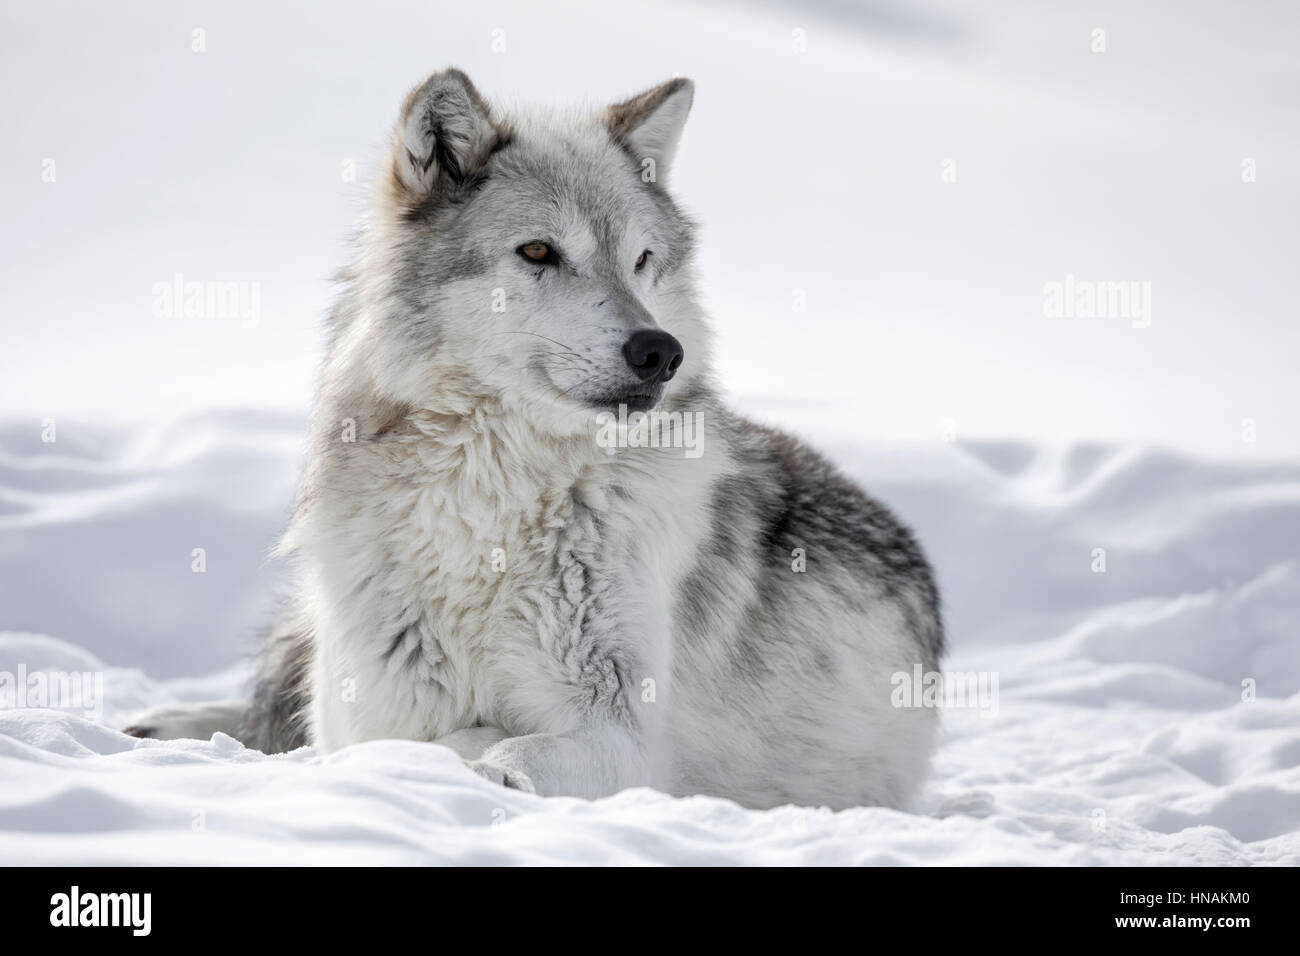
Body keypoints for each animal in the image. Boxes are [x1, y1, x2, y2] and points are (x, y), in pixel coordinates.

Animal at [126, 69, 944, 810]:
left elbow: (496, 747)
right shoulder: (373, 710)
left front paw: (478, 756)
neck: (488, 504)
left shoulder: (623, 738)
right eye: (540, 253)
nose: (661, 351)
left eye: (642, 261)